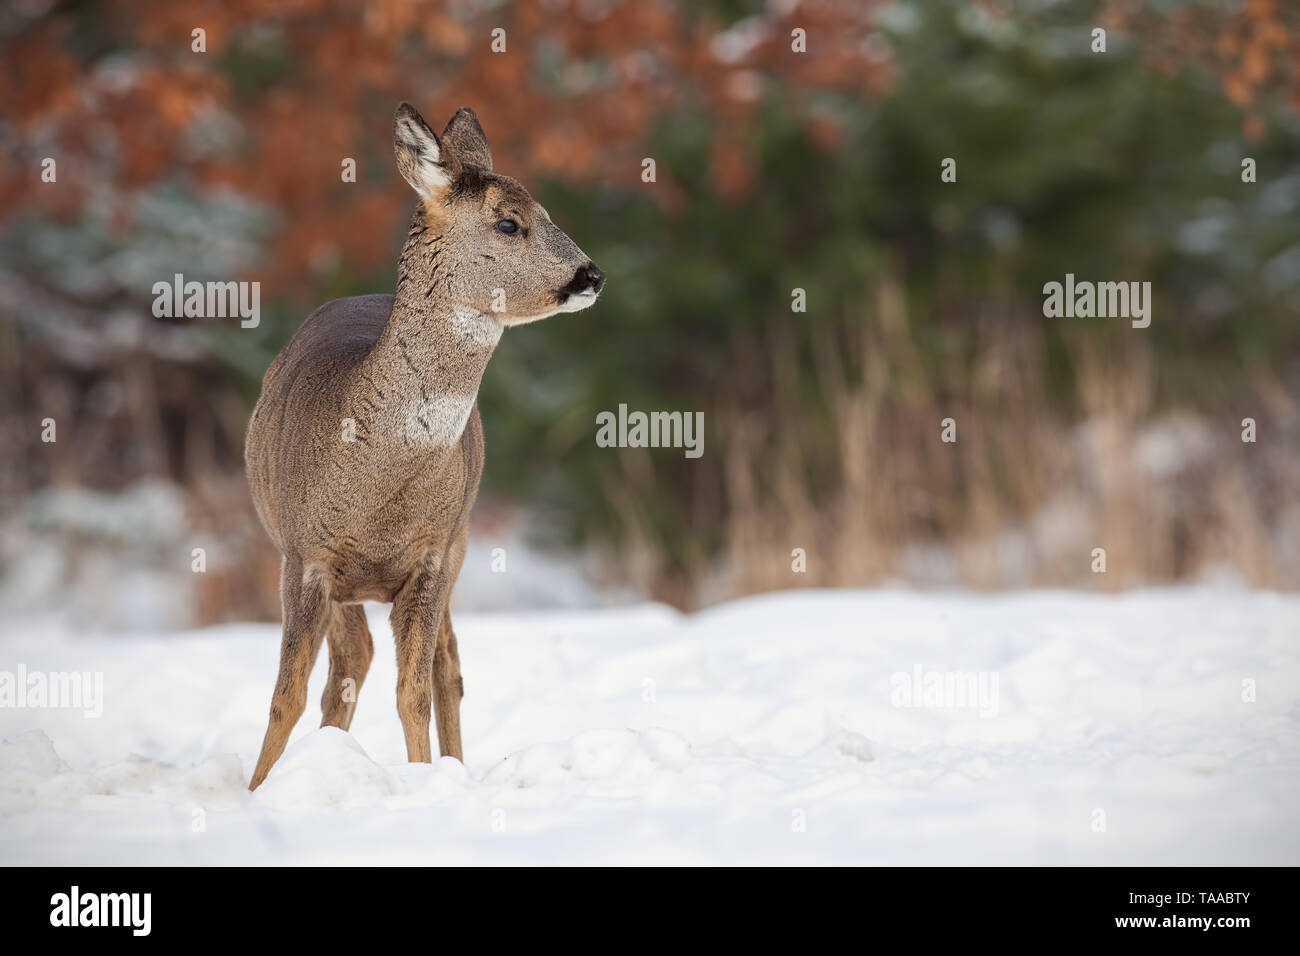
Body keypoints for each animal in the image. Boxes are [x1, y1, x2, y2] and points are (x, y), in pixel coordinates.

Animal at [242, 102, 604, 790]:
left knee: (440, 667)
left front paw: (424, 783)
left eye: (546, 211)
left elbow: (414, 691)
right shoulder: (302, 554)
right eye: (509, 221)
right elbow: (283, 695)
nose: (592, 275)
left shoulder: (433, 557)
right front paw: (255, 792)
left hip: (458, 543)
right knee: (352, 663)